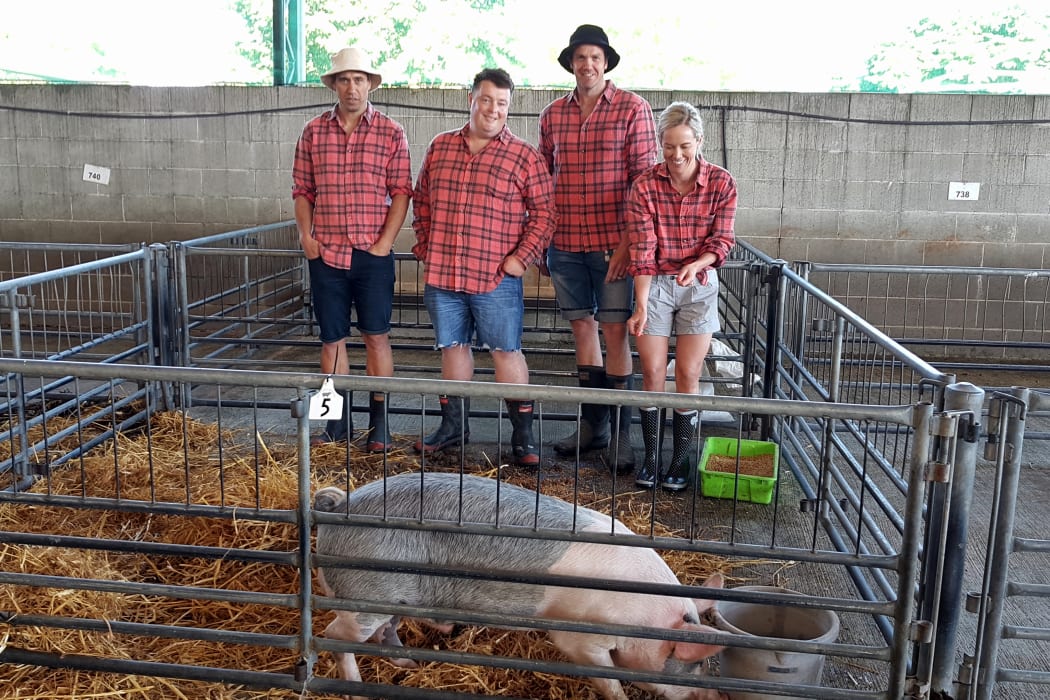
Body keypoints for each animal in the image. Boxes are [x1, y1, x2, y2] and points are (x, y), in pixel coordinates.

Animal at [313, 472, 726, 700]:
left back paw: (410, 661)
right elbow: (608, 682)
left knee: (384, 630)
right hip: (365, 592)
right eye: (695, 663)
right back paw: (354, 690)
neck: (643, 617)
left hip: (395, 596)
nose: (718, 695)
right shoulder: (579, 640)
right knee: (335, 635)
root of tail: (342, 504)